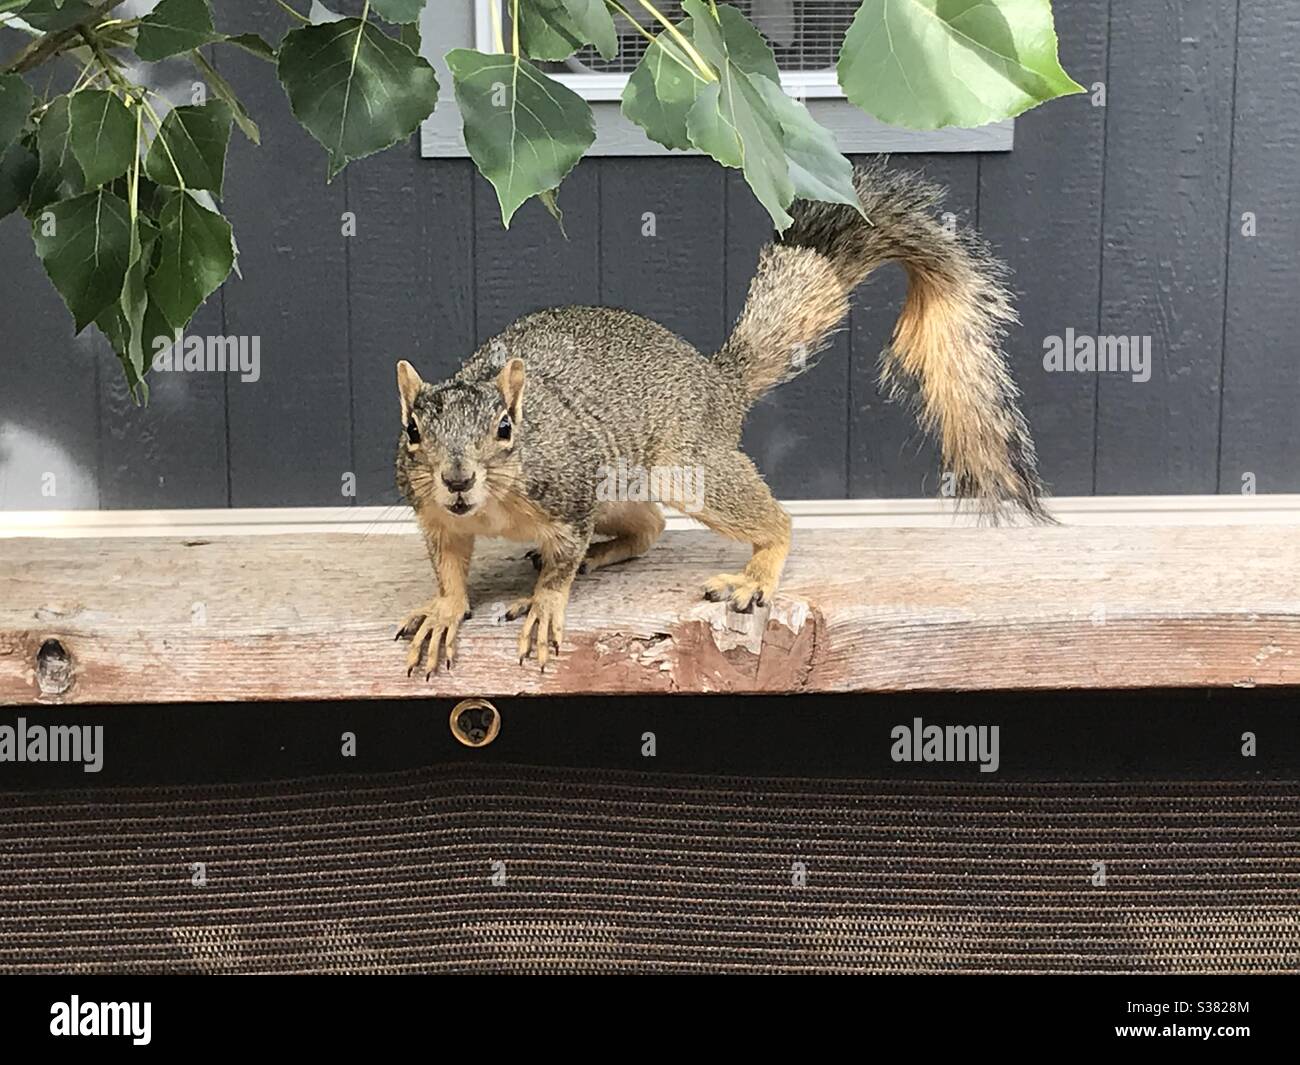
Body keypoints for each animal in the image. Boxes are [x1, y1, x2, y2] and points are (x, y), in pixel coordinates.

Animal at [394, 160, 1047, 675]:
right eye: (412, 432)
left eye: (505, 428)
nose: (457, 479)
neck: (492, 508)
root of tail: (718, 383)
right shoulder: (437, 517)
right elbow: (448, 571)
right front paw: (445, 612)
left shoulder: (570, 498)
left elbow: (559, 567)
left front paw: (544, 602)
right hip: (626, 485)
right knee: (650, 526)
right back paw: (605, 555)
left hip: (686, 468)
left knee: (761, 521)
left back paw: (752, 572)